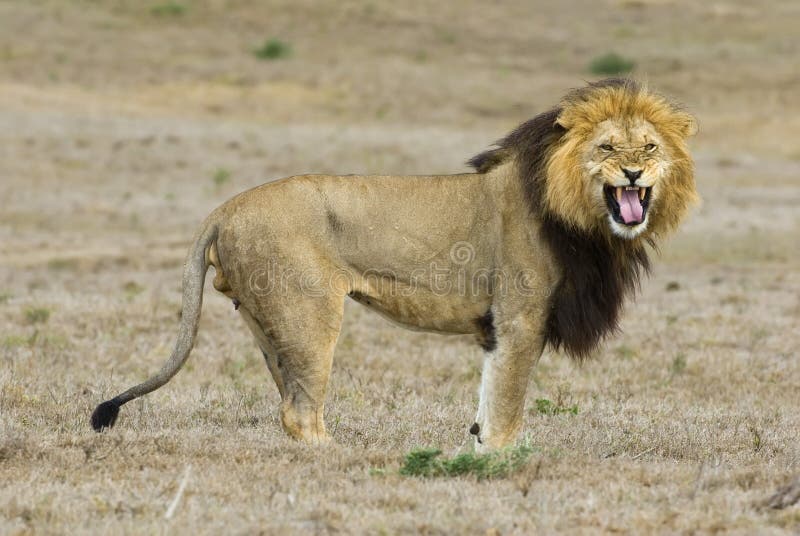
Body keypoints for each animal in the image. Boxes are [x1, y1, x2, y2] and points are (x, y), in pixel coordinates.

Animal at [92, 78, 698, 450]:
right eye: (607, 148)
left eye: (649, 147)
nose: (634, 176)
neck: (586, 219)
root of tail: (223, 208)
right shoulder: (521, 318)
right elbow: (507, 401)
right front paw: (499, 459)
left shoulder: (498, 327)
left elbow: (488, 398)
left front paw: (477, 446)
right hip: (310, 315)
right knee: (300, 411)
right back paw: (338, 455)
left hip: (266, 322)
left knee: (287, 402)